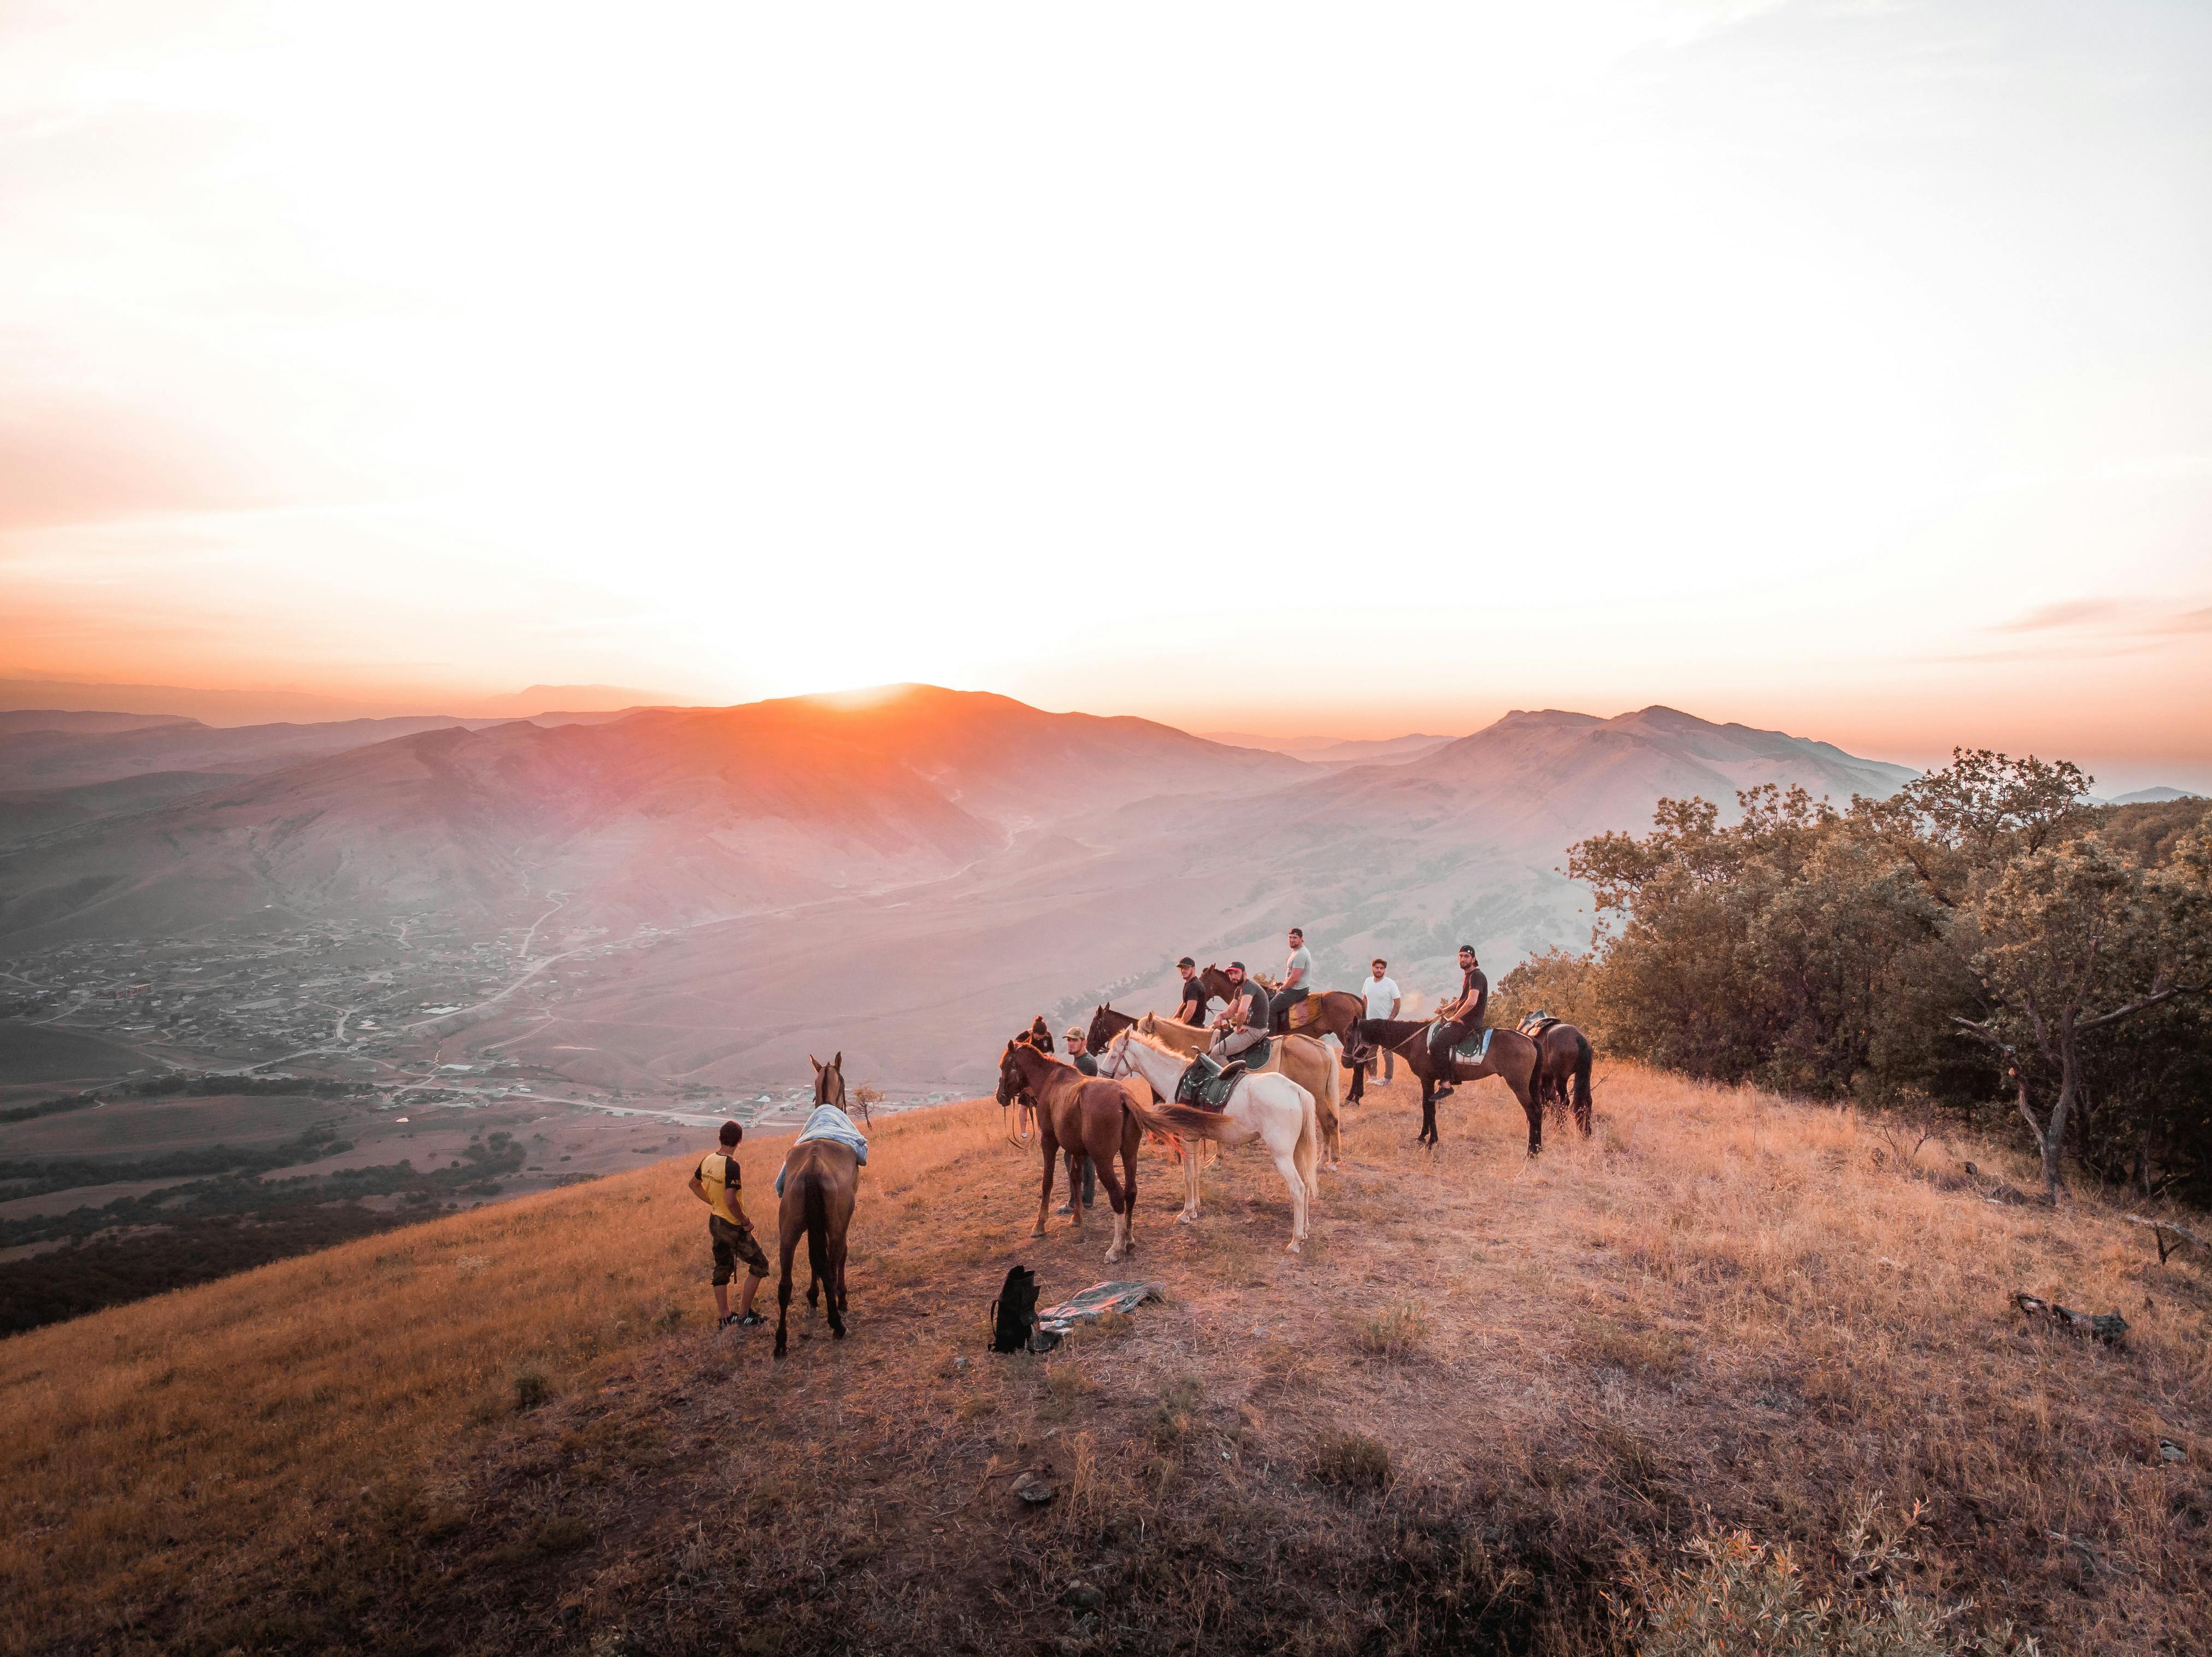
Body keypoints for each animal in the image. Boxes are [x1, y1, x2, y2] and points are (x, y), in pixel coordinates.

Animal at [774, 1054, 861, 1359]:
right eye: (845, 1082)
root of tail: (812, 1167)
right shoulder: (841, 1223)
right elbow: (839, 1258)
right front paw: (841, 1299)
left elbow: (815, 1258)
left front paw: (812, 1298)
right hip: (835, 1225)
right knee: (831, 1264)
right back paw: (837, 1322)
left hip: (788, 1232)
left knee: (785, 1284)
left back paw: (781, 1342)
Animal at [996, 1039, 1144, 1263]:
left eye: (1004, 1067)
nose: (1000, 1096)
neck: (1048, 1081)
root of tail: (1122, 1096)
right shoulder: (1078, 1150)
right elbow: (1076, 1177)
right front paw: (1077, 1217)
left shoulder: (1048, 1141)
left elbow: (1047, 1181)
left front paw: (1040, 1225)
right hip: (1130, 1155)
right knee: (1131, 1192)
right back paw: (1129, 1238)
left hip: (1103, 1161)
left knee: (1118, 1195)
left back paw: (1117, 1247)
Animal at [1099, 1027, 1318, 1254]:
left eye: (1114, 1055)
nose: (1102, 1077)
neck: (1175, 1078)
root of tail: (1296, 1091)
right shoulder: (1195, 1139)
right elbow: (1196, 1174)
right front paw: (1195, 1210)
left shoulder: (1186, 1139)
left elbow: (1188, 1176)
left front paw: (1185, 1213)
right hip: (1297, 1152)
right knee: (1306, 1184)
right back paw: (1305, 1230)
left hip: (1282, 1154)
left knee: (1298, 1189)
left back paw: (1295, 1241)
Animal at [1345, 1017, 1548, 1154]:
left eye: (1348, 1037)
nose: (1345, 1062)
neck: (1415, 1040)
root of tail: (1529, 1039)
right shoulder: (1431, 1081)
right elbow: (1430, 1108)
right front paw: (1425, 1138)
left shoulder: (1427, 1080)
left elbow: (1428, 1107)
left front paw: (1429, 1141)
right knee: (1538, 1111)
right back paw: (1538, 1148)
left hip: (1519, 1085)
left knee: (1533, 1112)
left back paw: (1532, 1152)